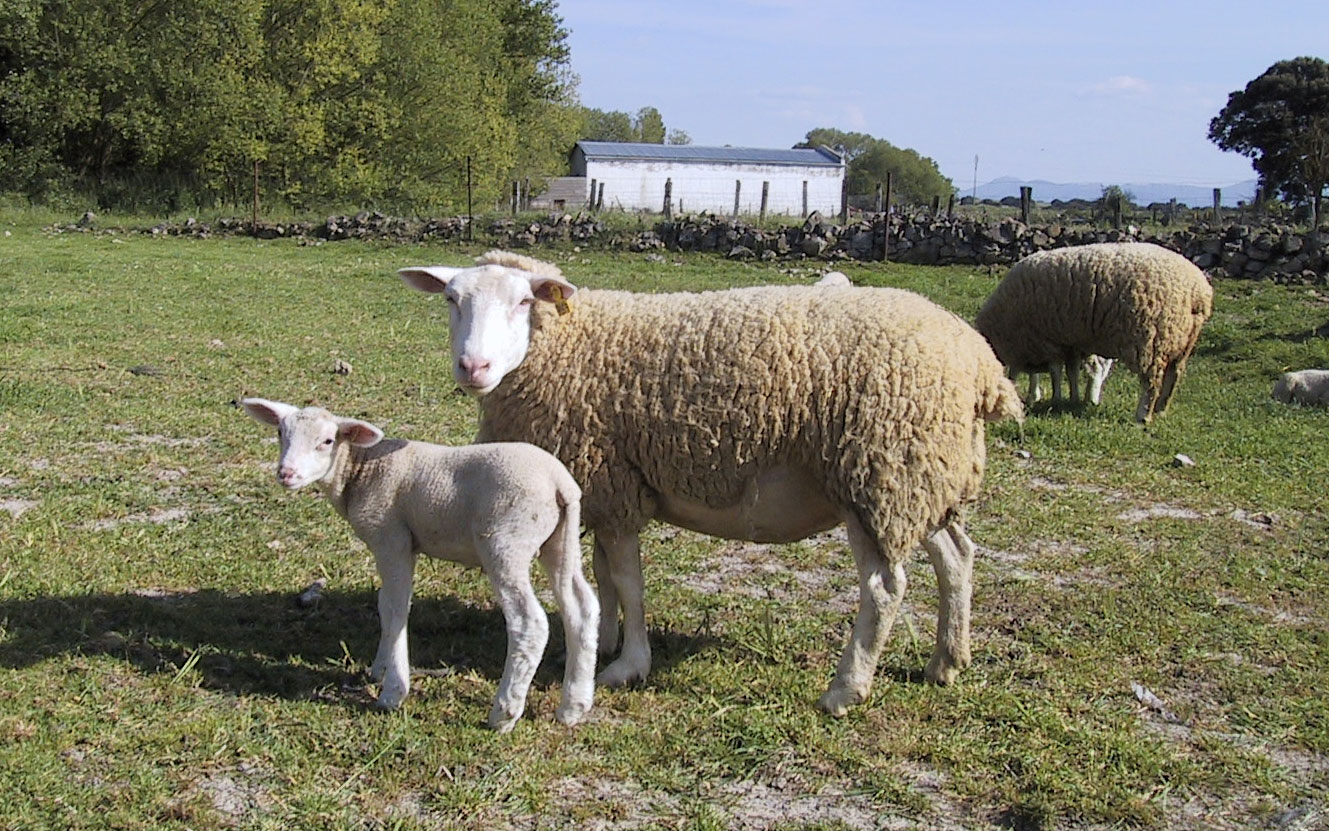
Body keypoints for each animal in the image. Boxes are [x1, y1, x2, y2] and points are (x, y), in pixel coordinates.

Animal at [240, 397, 598, 732]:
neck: (361, 468)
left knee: (529, 623)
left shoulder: (391, 538)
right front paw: (379, 668)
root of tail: (559, 483)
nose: (286, 473)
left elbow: (396, 609)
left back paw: (504, 712)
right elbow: (384, 604)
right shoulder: (395, 545)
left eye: (327, 441)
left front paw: (393, 691)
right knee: (582, 608)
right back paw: (573, 707)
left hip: (506, 544)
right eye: (280, 433)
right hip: (559, 542)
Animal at [398, 251, 1023, 716]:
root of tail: (980, 365)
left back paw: (845, 690)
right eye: (451, 301)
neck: (569, 346)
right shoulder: (607, 489)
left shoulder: (613, 482)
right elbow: (605, 576)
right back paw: (947, 661)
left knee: (885, 589)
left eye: (525, 302)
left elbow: (629, 582)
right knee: (957, 557)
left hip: (877, 475)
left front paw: (630, 665)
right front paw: (608, 643)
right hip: (922, 478)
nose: (473, 368)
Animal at [974, 242, 1212, 423]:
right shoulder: (1069, 342)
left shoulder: (1046, 339)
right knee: (1175, 374)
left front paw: (1057, 398)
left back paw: (1143, 415)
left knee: (1152, 381)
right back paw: (1162, 409)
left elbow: (1055, 371)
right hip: (1182, 340)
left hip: (1152, 338)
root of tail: (1198, 291)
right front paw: (1072, 398)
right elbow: (1070, 372)